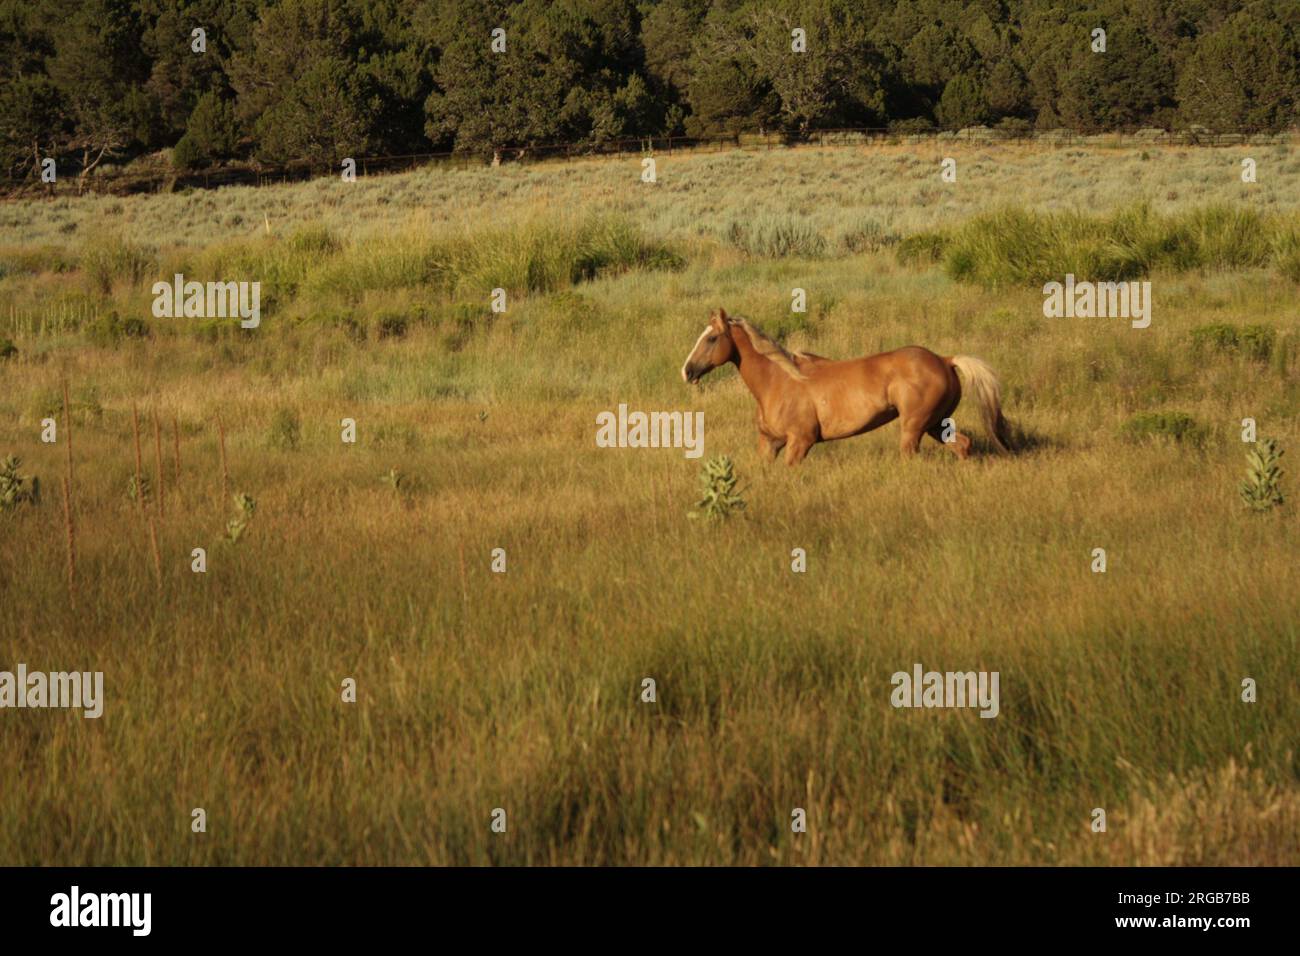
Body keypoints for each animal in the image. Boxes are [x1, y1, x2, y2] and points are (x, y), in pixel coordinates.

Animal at [680, 307, 1012, 465]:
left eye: (712, 338)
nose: (687, 371)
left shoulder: (800, 442)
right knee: (964, 445)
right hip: (936, 424)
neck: (779, 381)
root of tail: (944, 360)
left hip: (914, 427)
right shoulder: (769, 442)